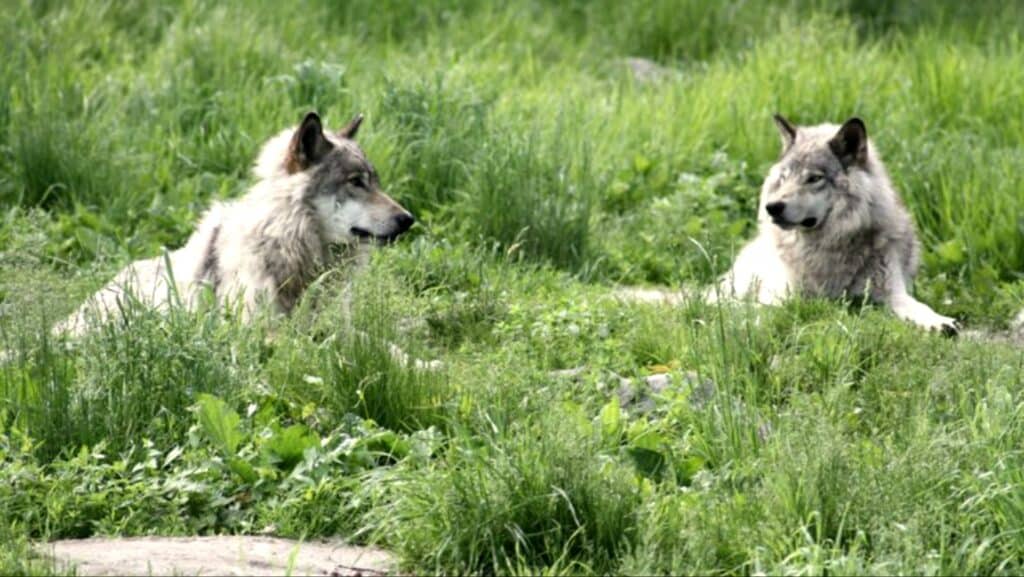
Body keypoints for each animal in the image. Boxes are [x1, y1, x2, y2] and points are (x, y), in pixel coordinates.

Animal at [55, 111, 415, 336]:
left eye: (376, 183)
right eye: (356, 182)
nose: (408, 220)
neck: (286, 247)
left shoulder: (338, 326)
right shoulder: (263, 333)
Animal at [713, 114, 958, 334]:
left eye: (813, 178)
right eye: (784, 178)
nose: (772, 207)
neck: (828, 244)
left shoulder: (892, 292)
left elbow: (918, 306)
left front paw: (939, 321)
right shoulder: (788, 295)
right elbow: (774, 309)